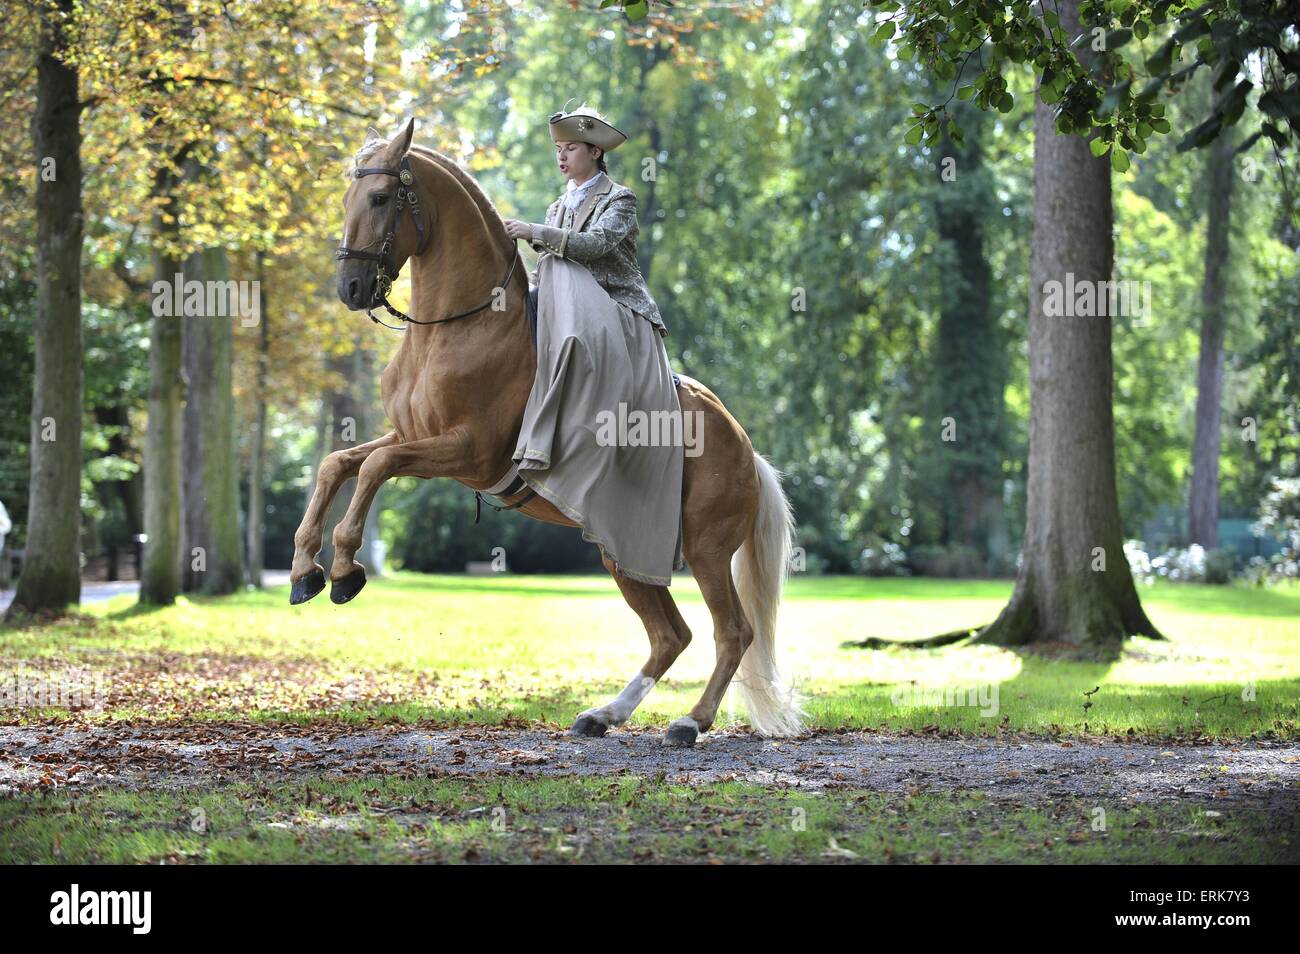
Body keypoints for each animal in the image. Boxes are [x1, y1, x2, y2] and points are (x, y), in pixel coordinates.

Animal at [289, 118, 802, 746]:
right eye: (348, 199)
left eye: (382, 197)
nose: (351, 287)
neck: (453, 329)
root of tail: (746, 448)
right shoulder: (410, 435)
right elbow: (340, 463)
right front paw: (304, 571)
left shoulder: (465, 452)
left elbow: (374, 469)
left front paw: (343, 569)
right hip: (625, 551)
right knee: (670, 635)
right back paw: (602, 715)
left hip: (704, 550)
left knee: (732, 631)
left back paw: (689, 722)